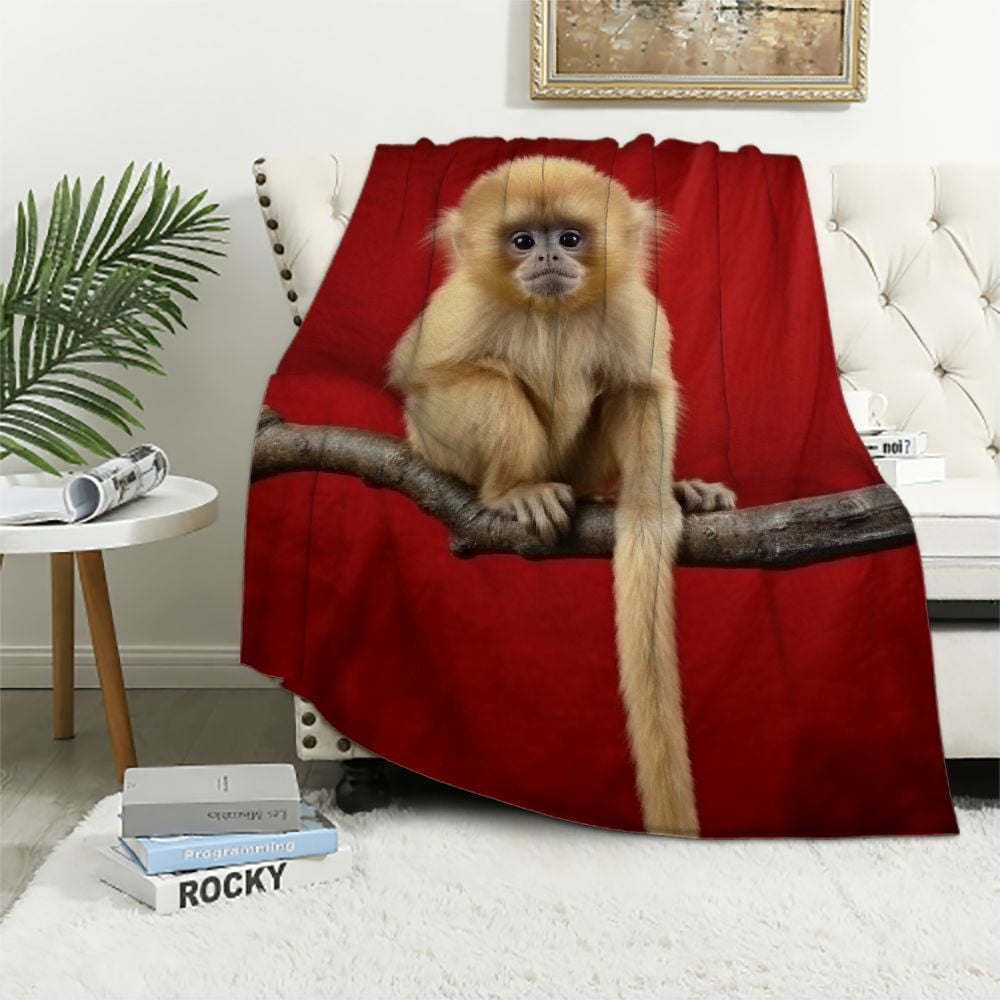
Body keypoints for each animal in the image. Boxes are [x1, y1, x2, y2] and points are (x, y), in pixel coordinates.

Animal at [389, 155, 735, 835]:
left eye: (570, 238)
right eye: (524, 241)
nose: (548, 256)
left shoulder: (631, 310)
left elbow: (641, 392)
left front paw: (657, 505)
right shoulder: (457, 313)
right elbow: (428, 380)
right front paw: (517, 491)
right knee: (487, 386)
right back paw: (513, 490)